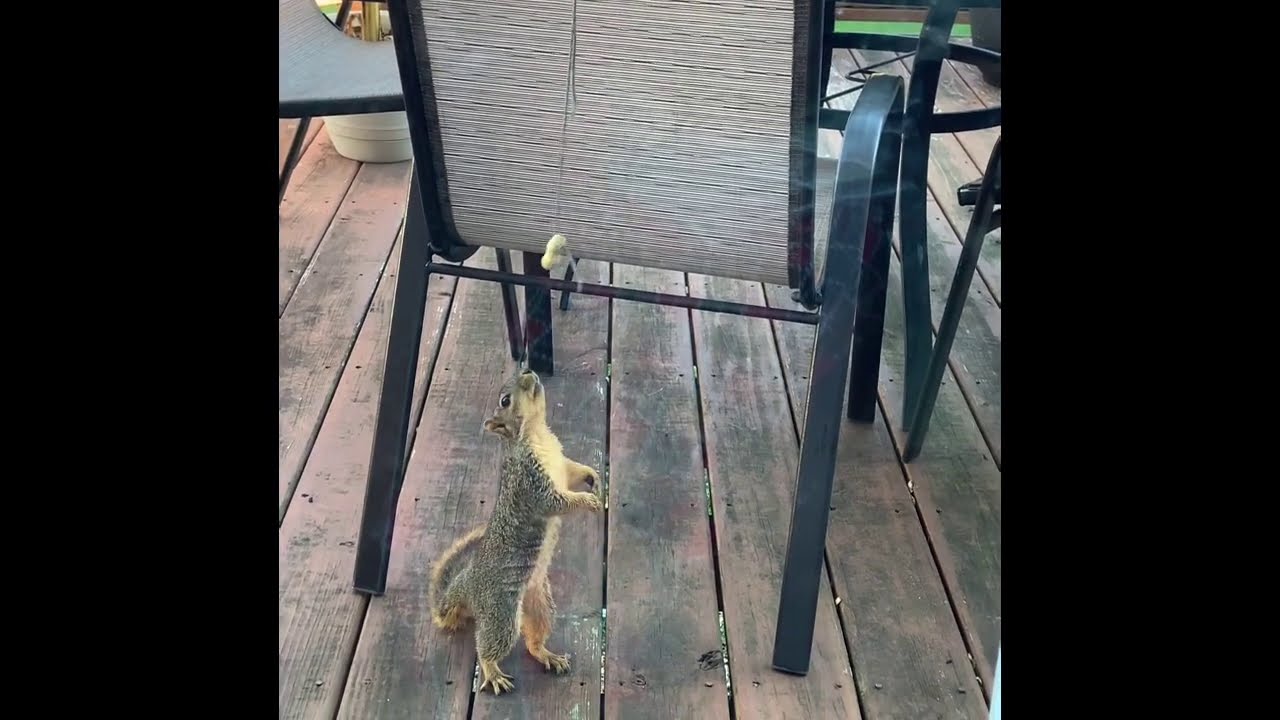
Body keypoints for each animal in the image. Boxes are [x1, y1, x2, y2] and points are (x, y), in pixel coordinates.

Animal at [427, 368, 603, 695]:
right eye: (505, 401)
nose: (529, 372)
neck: (537, 434)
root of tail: (468, 585)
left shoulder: (562, 465)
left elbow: (574, 472)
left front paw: (592, 476)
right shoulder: (532, 482)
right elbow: (559, 502)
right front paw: (589, 501)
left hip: (539, 603)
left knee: (533, 640)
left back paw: (548, 655)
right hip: (502, 612)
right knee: (487, 645)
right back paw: (493, 672)